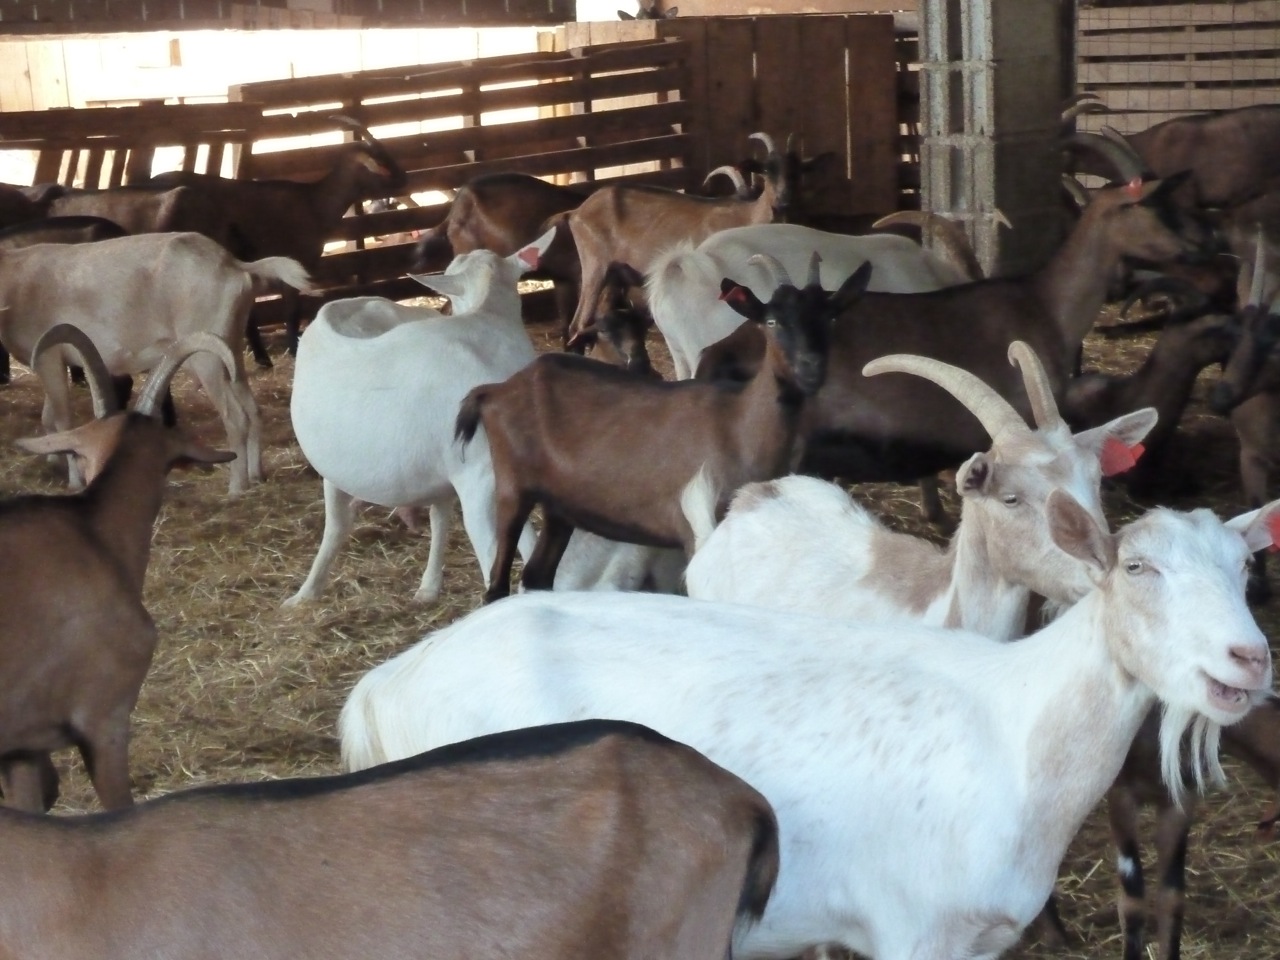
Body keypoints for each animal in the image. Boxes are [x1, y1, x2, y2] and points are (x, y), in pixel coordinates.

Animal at [0, 231, 309, 494]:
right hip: (230, 349)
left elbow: (61, 418)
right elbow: (48, 416)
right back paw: (257, 475)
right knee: (253, 409)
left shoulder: (49, 357)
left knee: (235, 417)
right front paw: (52, 461)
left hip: (207, 357)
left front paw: (72, 480)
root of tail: (236, 265)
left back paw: (236, 487)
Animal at [146, 115, 407, 356]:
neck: (314, 204)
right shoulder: (296, 262)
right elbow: (291, 310)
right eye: (379, 163)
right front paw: (293, 349)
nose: (404, 179)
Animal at [340, 493, 1277, 960]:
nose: (1248, 658)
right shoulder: (911, 935)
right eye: (1138, 566)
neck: (1014, 732)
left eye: (1246, 568)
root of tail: (386, 685)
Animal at [455, 255, 873, 603]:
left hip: (561, 506)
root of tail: (495, 391)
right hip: (513, 488)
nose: (811, 368)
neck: (739, 424)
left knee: (538, 576)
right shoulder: (694, 529)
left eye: (830, 317)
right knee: (496, 585)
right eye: (771, 322)